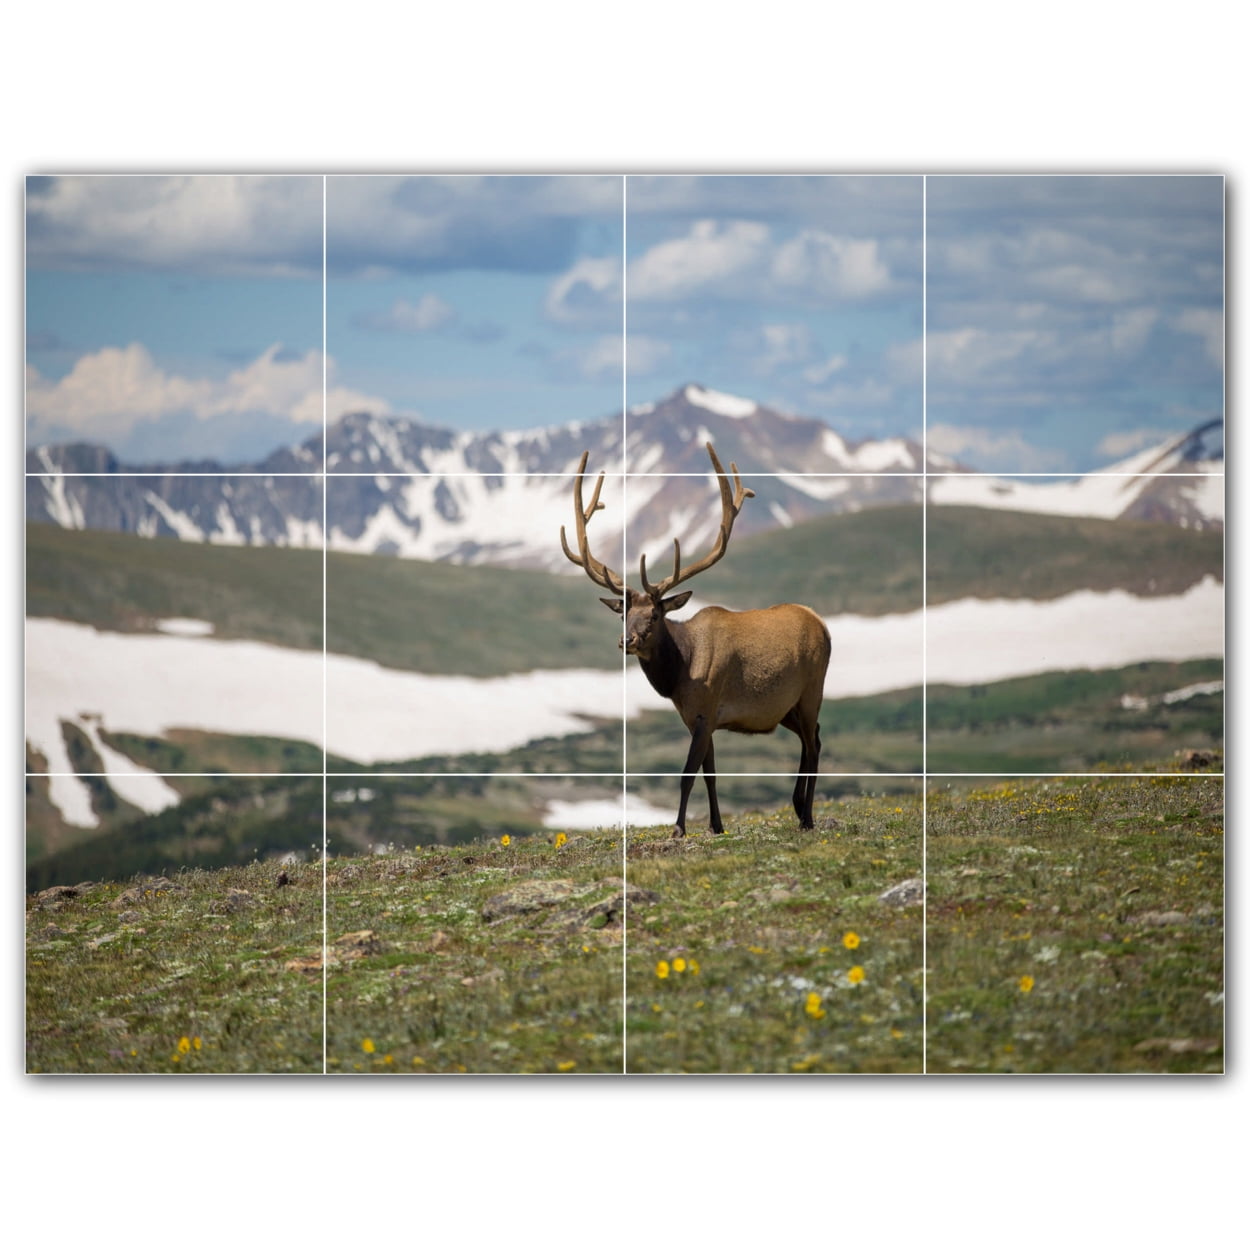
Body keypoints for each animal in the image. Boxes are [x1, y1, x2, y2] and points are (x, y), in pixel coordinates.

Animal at [561, 441, 832, 837]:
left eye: (655, 615)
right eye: (624, 614)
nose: (627, 641)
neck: (680, 675)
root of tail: (822, 623)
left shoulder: (706, 707)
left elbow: (687, 774)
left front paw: (679, 828)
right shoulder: (694, 717)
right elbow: (710, 773)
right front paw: (716, 826)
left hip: (813, 689)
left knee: (813, 744)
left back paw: (808, 817)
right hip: (785, 708)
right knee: (814, 737)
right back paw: (797, 807)